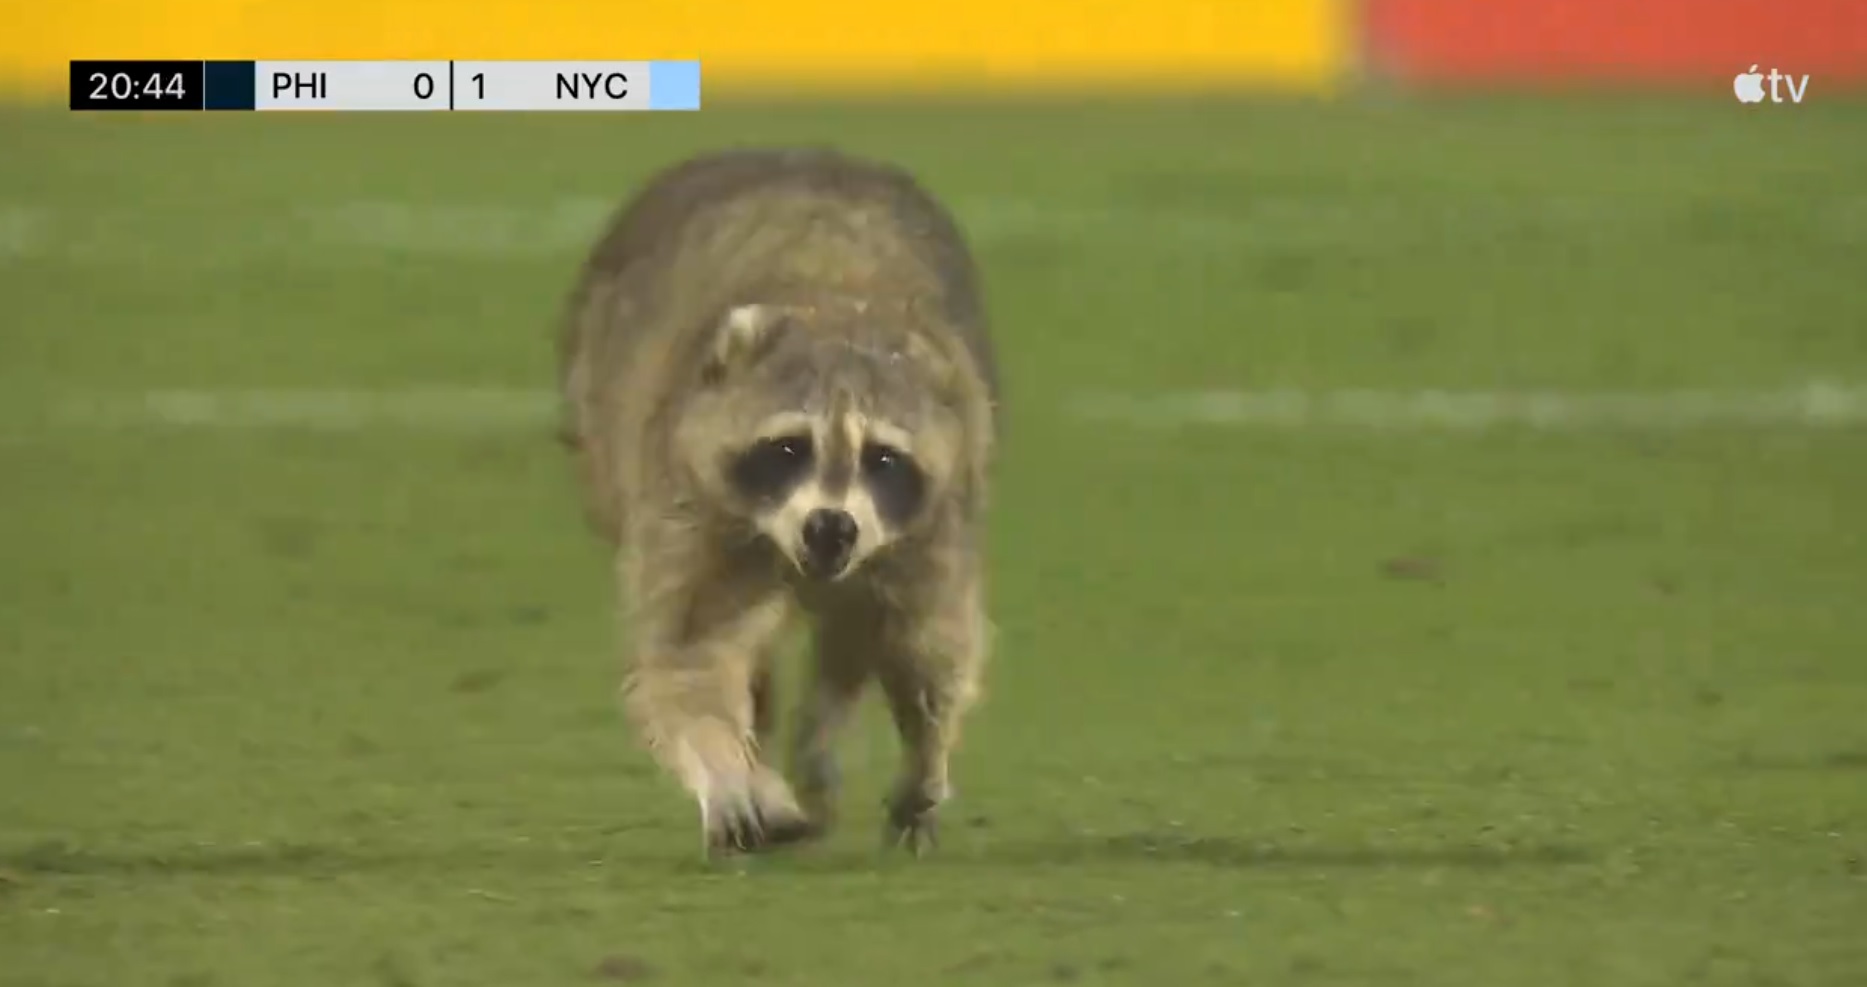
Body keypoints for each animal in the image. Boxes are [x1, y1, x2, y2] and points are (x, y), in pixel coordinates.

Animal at [556, 147, 1000, 856]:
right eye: (789, 448)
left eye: (882, 458)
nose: (831, 528)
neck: (835, 306)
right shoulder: (688, 497)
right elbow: (690, 656)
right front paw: (729, 773)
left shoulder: (935, 518)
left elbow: (926, 646)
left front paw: (923, 765)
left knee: (852, 643)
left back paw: (816, 743)